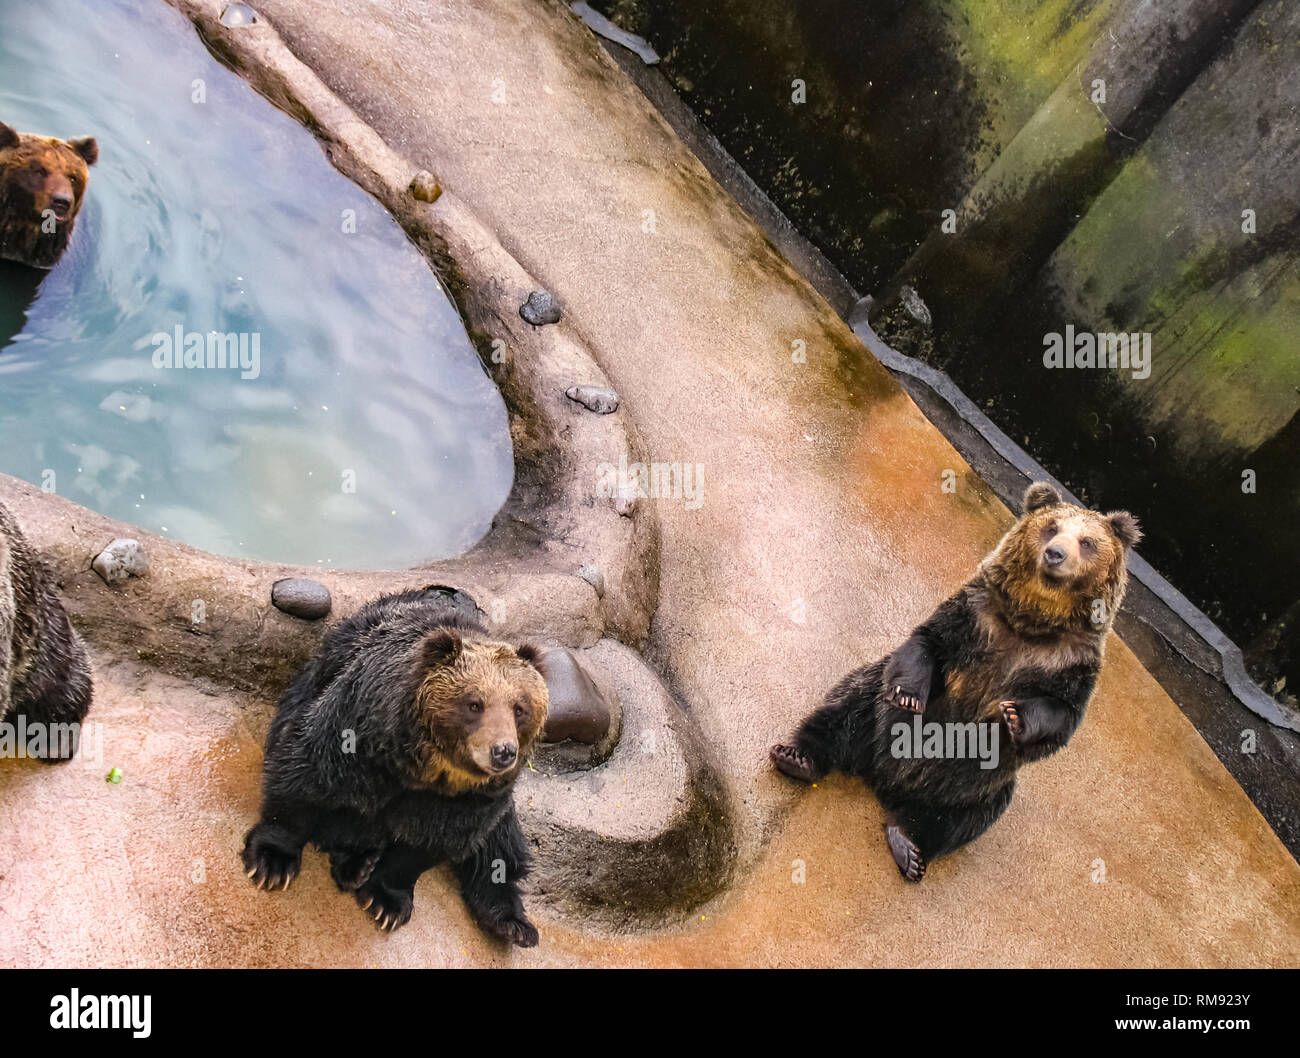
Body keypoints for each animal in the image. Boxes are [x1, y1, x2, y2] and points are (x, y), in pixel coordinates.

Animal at [241, 588, 549, 945]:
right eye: (475, 704)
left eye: (520, 708)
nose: (503, 751)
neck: (427, 769)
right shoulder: (358, 734)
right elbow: (307, 775)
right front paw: (272, 860)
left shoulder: (471, 799)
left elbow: (431, 842)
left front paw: (386, 902)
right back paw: (356, 861)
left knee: (502, 844)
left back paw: (513, 923)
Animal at [770, 481, 1141, 881]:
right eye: (1051, 527)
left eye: (1087, 542)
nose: (1055, 553)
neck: (1032, 624)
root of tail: (885, 782)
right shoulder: (973, 616)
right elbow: (928, 642)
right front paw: (908, 695)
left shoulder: (1071, 662)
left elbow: (1061, 715)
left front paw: (1014, 716)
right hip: (875, 716)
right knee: (845, 707)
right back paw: (796, 757)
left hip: (979, 784)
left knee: (960, 820)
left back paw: (910, 847)